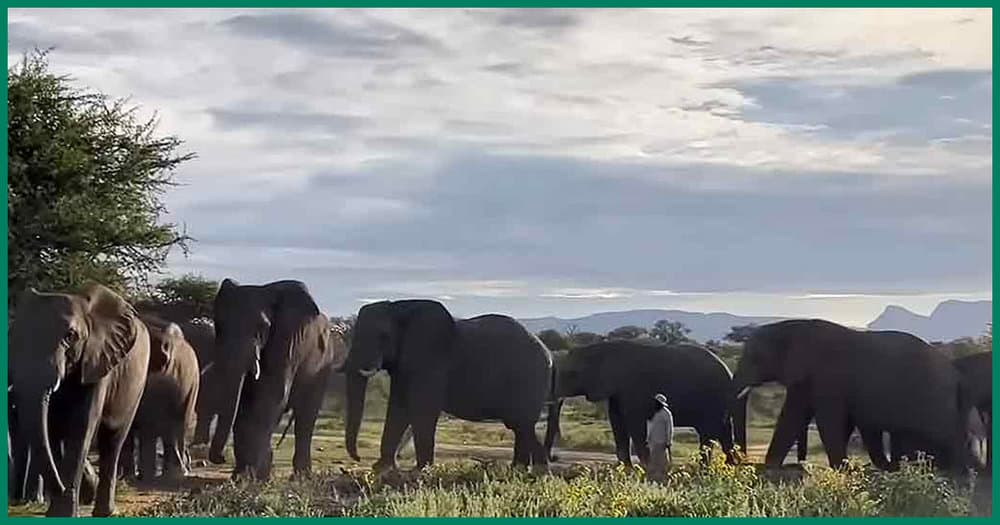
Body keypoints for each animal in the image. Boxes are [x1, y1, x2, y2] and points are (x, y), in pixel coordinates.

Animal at [8, 284, 150, 517]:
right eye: (13, 336)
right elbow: (52, 429)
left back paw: (105, 513)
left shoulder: (98, 359)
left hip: (136, 384)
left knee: (113, 440)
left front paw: (63, 512)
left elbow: (81, 426)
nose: (62, 489)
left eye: (70, 336)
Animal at [210, 279, 341, 480]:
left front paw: (252, 478)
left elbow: (272, 393)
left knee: (306, 417)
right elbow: (246, 400)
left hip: (324, 365)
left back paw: (301, 478)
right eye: (218, 324)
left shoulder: (289, 338)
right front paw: (242, 477)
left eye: (262, 327)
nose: (221, 458)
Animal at [343, 300, 552, 471]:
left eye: (383, 335)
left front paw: (422, 470)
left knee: (522, 424)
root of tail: (548, 354)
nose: (358, 458)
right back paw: (519, 469)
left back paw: (536, 470)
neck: (400, 307)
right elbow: (398, 409)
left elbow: (422, 409)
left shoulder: (431, 359)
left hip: (528, 380)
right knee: (520, 427)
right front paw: (382, 468)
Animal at [545, 340, 737, 467]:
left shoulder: (632, 389)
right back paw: (732, 466)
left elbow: (634, 425)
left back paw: (706, 469)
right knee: (724, 432)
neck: (601, 349)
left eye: (571, 374)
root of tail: (728, 370)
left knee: (708, 434)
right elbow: (617, 423)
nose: (554, 458)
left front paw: (645, 467)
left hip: (713, 399)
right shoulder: (617, 392)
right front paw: (626, 469)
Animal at [731, 319, 972, 472]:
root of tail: (956, 376)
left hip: (932, 400)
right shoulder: (809, 380)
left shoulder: (827, 378)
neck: (792, 326)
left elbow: (827, 421)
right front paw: (771, 466)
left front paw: (842, 468)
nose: (742, 461)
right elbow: (796, 416)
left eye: (754, 357)